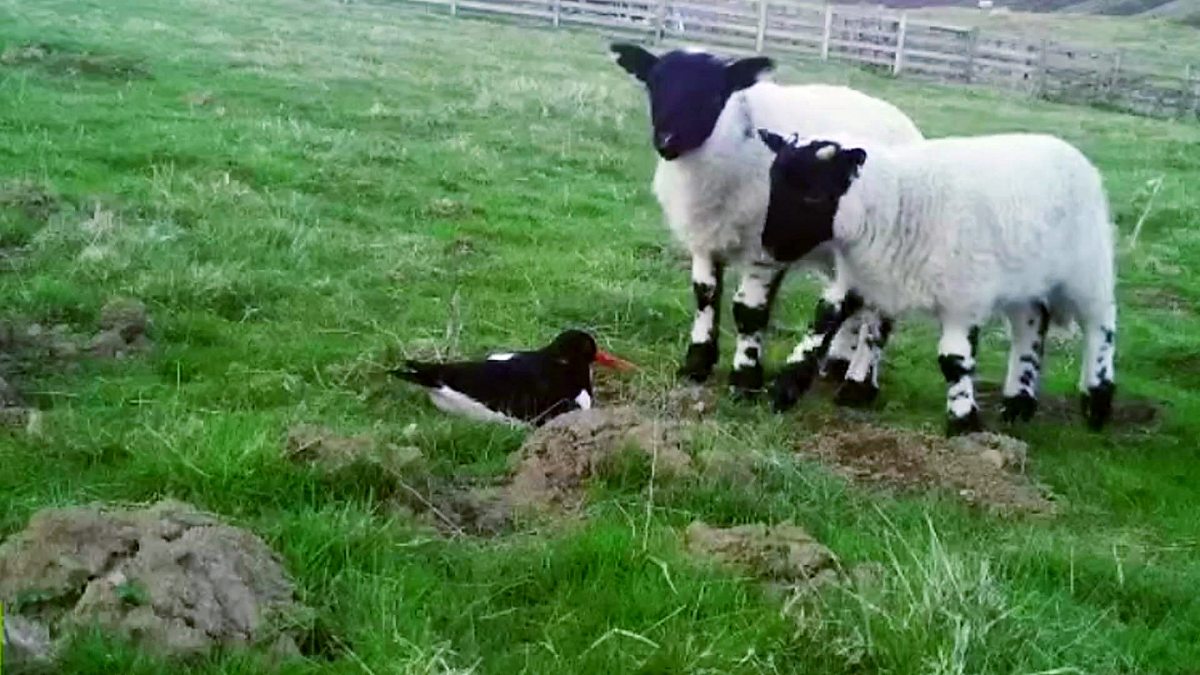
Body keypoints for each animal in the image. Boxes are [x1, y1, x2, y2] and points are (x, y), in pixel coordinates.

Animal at [610, 43, 924, 405]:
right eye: (653, 84)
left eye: (716, 94)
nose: (668, 142)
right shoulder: (704, 239)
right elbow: (705, 295)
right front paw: (696, 365)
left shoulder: (766, 251)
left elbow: (748, 311)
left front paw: (745, 380)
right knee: (857, 300)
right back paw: (837, 364)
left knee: (878, 313)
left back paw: (857, 386)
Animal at [755, 129, 1117, 434]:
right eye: (772, 183)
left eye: (814, 196)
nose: (771, 248)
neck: (895, 201)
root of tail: (1070, 151)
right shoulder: (864, 278)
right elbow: (829, 323)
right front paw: (789, 388)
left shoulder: (963, 299)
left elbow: (953, 360)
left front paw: (963, 421)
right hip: (1024, 277)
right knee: (1031, 322)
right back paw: (1018, 404)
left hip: (1087, 267)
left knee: (1101, 322)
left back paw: (1097, 401)